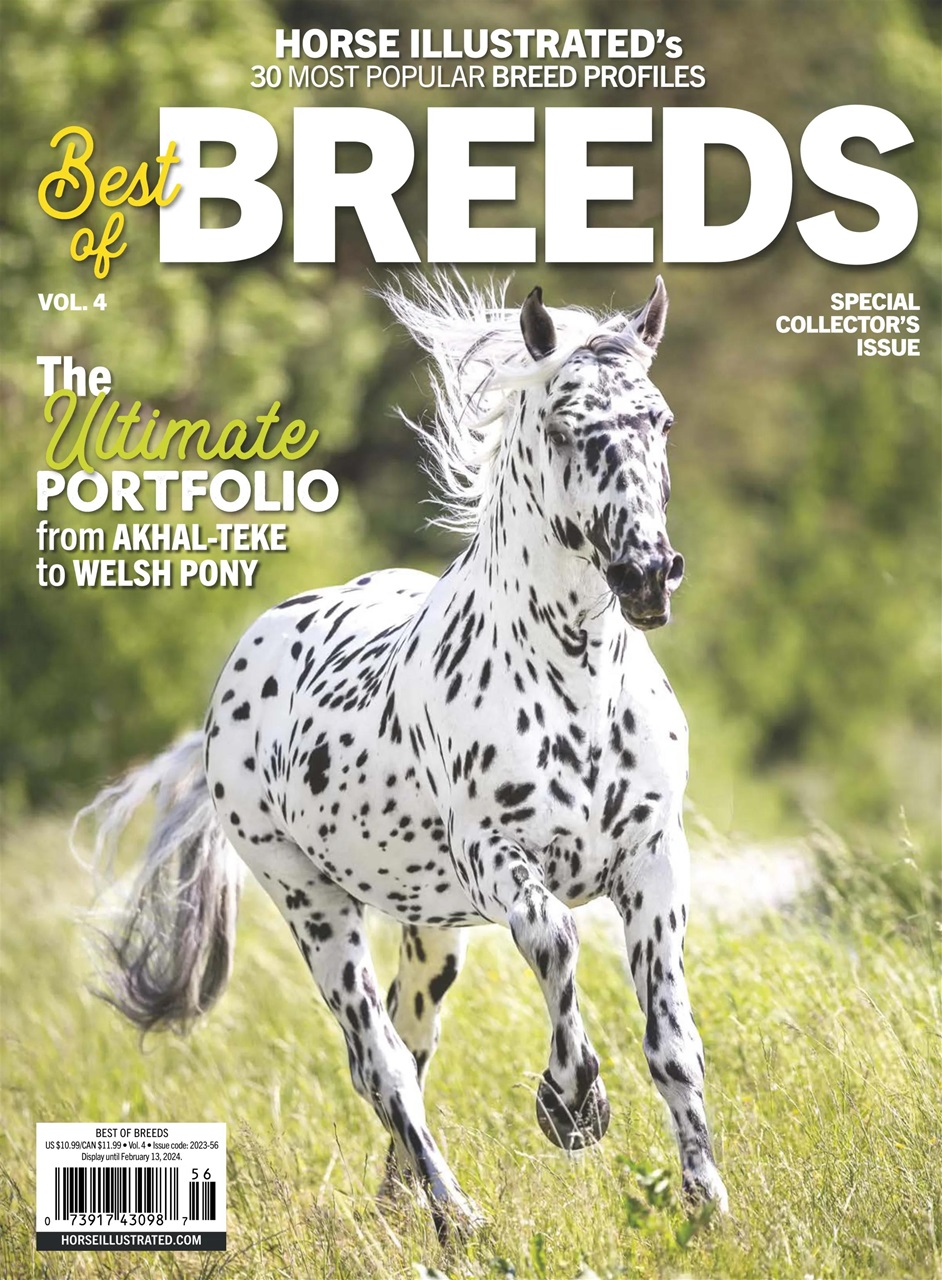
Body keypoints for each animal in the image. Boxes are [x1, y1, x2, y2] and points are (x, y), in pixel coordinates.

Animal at [80, 275, 729, 1236]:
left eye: (662, 420)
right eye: (566, 427)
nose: (648, 574)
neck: (573, 684)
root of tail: (238, 672)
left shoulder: (652, 862)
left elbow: (674, 1042)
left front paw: (707, 1202)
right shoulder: (499, 861)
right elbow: (558, 942)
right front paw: (572, 1106)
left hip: (432, 930)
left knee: (410, 1042)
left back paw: (402, 1206)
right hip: (314, 909)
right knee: (379, 1062)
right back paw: (456, 1217)